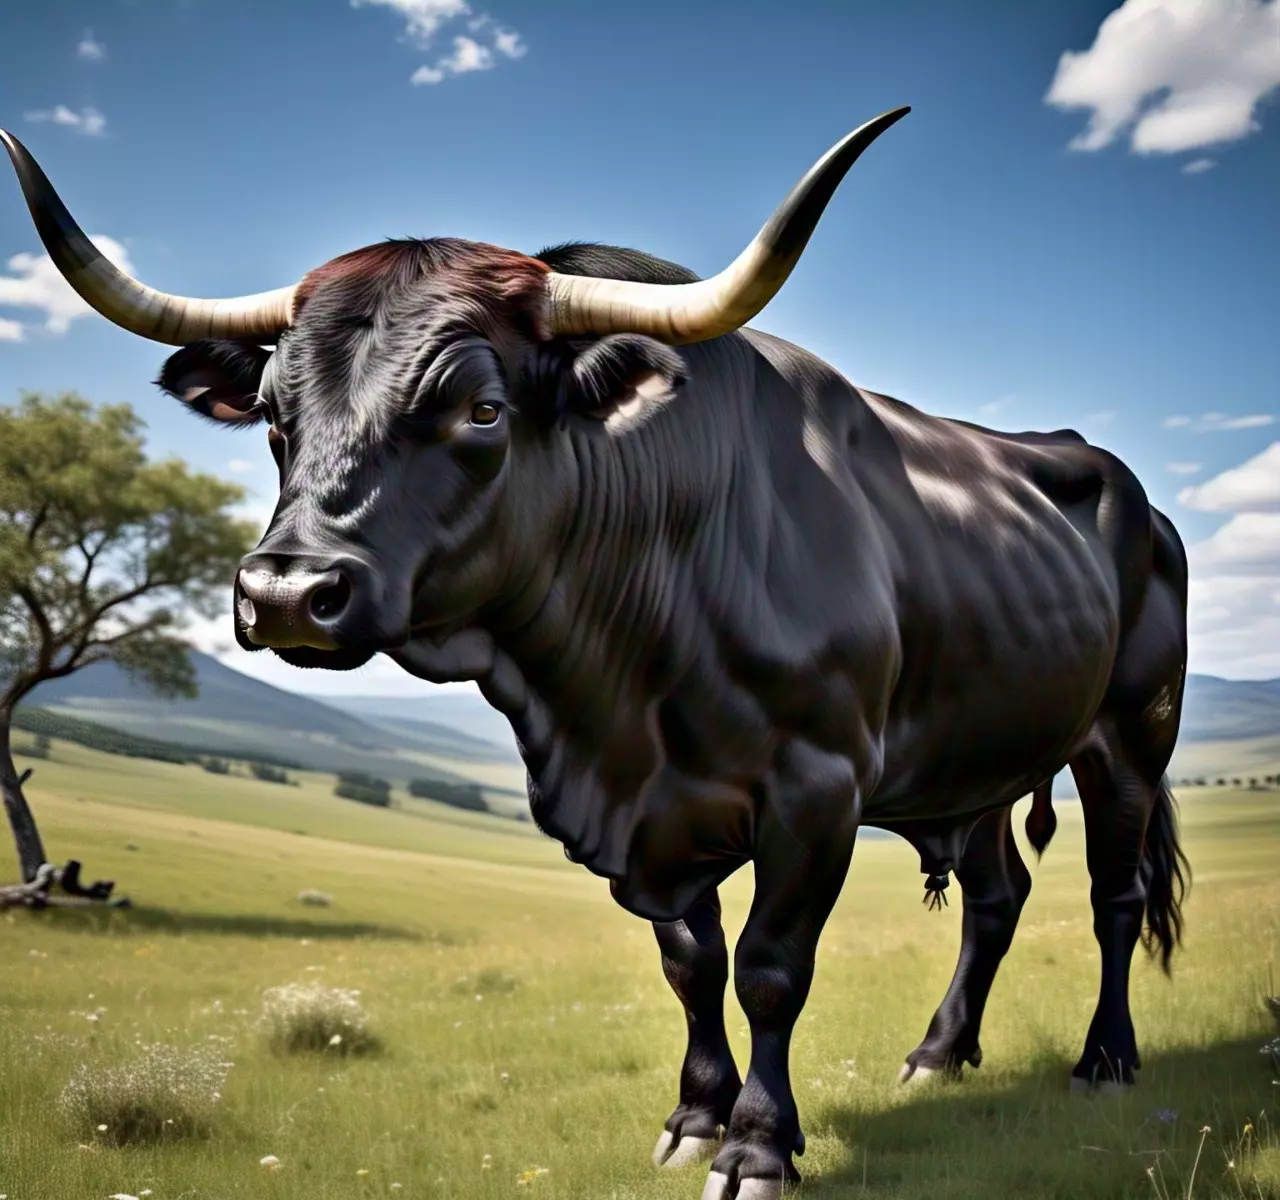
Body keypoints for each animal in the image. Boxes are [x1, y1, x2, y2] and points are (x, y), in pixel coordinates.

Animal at [3, 107, 1191, 1200]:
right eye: (270, 416)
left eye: (482, 408)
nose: (287, 592)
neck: (610, 701)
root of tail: (1106, 472)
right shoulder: (650, 815)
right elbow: (689, 963)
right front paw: (695, 1120)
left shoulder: (816, 789)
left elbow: (769, 969)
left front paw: (758, 1148)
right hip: (979, 756)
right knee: (996, 897)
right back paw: (940, 1055)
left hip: (1132, 737)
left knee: (1114, 895)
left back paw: (1104, 1059)